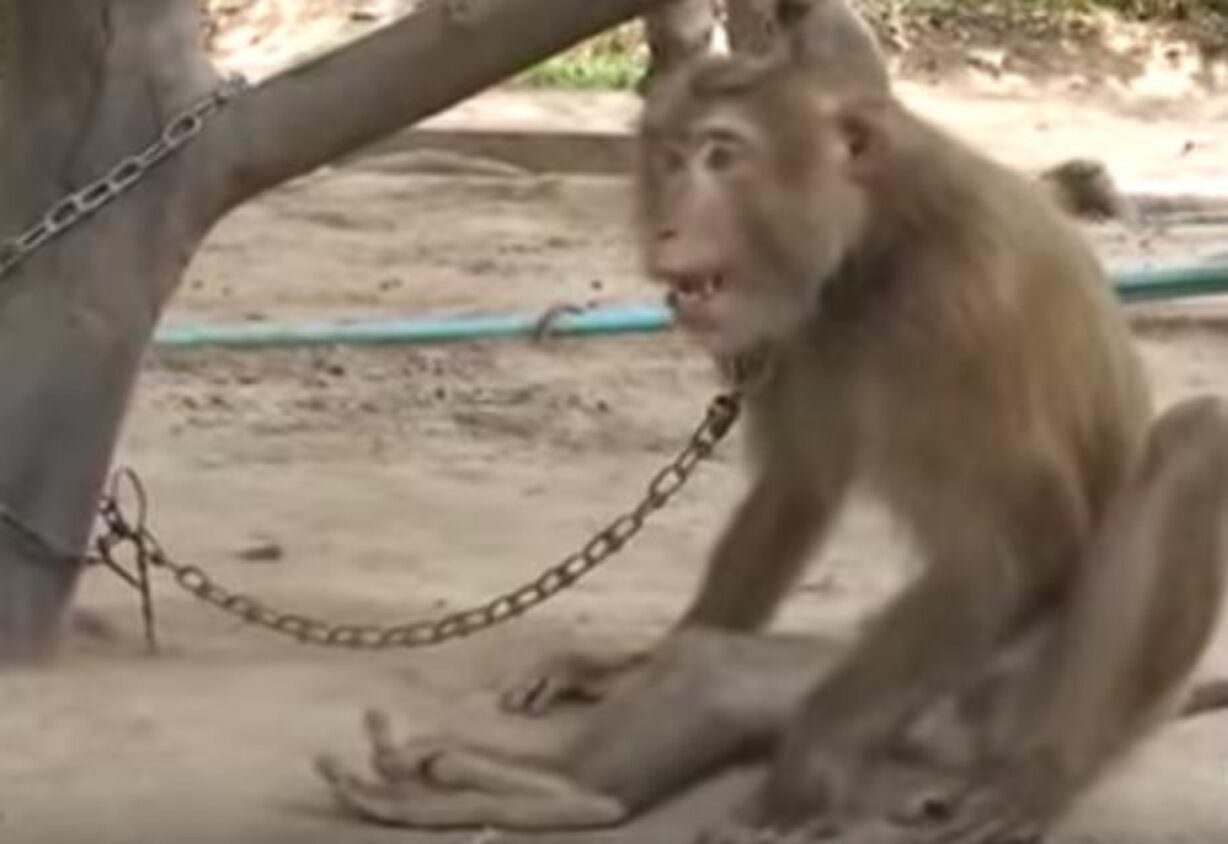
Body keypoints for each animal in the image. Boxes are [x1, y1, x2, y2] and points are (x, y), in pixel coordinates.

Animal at [500, 41, 1228, 844]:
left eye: (721, 155)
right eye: (669, 157)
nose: (663, 227)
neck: (872, 250)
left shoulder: (959, 305)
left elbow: (1023, 546)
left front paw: (807, 765)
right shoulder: (791, 330)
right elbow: (800, 485)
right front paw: (638, 666)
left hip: (1030, 690)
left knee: (1197, 436)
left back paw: (1041, 771)